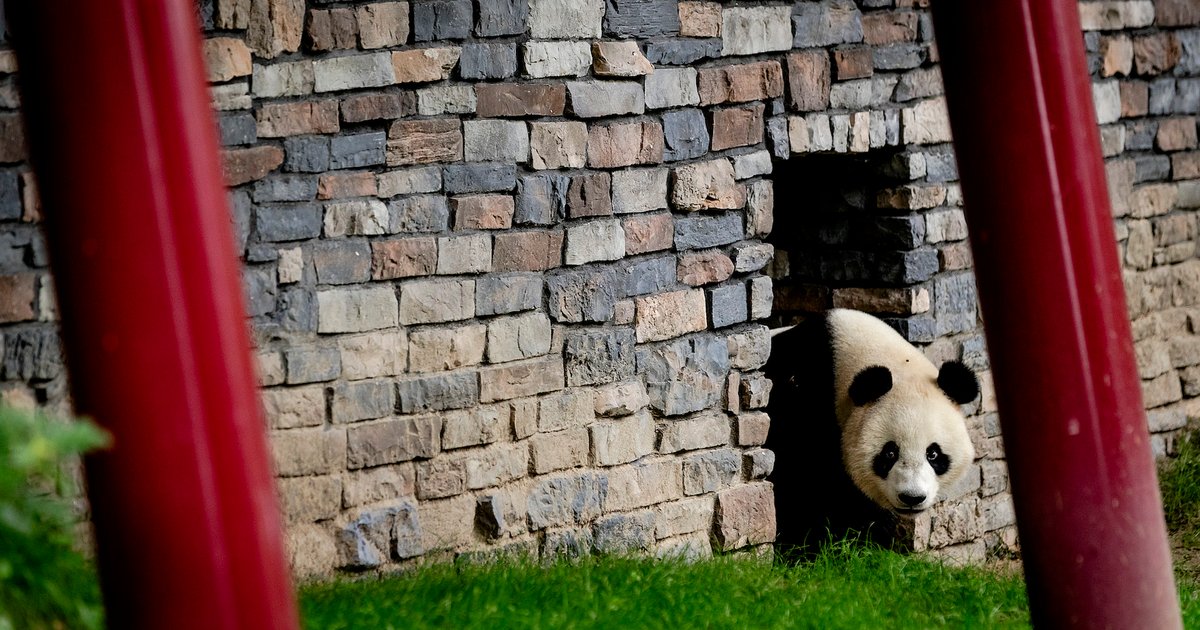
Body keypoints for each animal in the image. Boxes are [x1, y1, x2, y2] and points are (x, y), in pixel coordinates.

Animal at [763, 308, 980, 555]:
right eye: (890, 453)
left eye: (933, 454)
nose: (912, 498)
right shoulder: (804, 405)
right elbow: (806, 485)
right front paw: (820, 547)